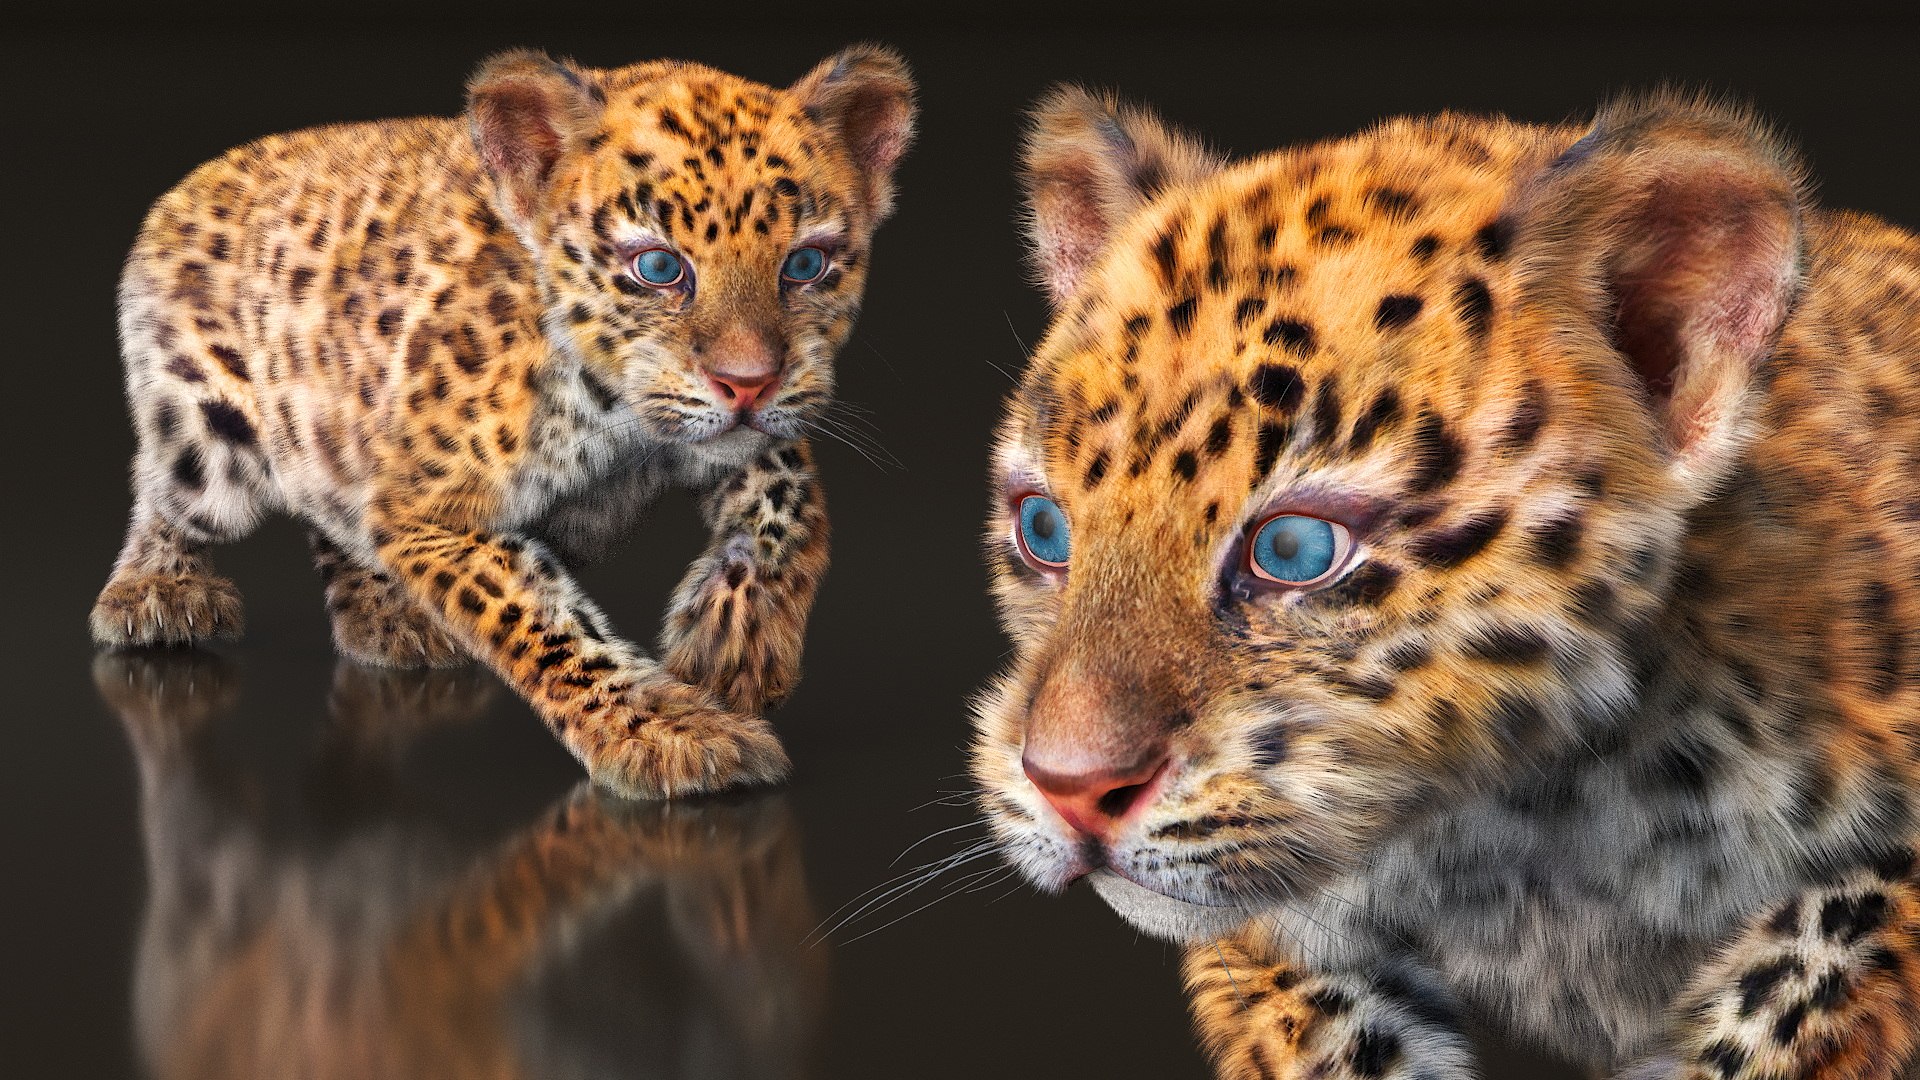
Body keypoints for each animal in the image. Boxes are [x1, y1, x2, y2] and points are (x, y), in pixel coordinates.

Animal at [90, 45, 916, 799]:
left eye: (805, 265)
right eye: (658, 268)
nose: (747, 383)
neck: (617, 413)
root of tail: (197, 178)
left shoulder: (746, 434)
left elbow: (790, 504)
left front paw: (734, 653)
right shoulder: (432, 513)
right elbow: (549, 630)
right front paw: (669, 733)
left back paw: (384, 616)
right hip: (212, 444)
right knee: (167, 490)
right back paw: (156, 593)